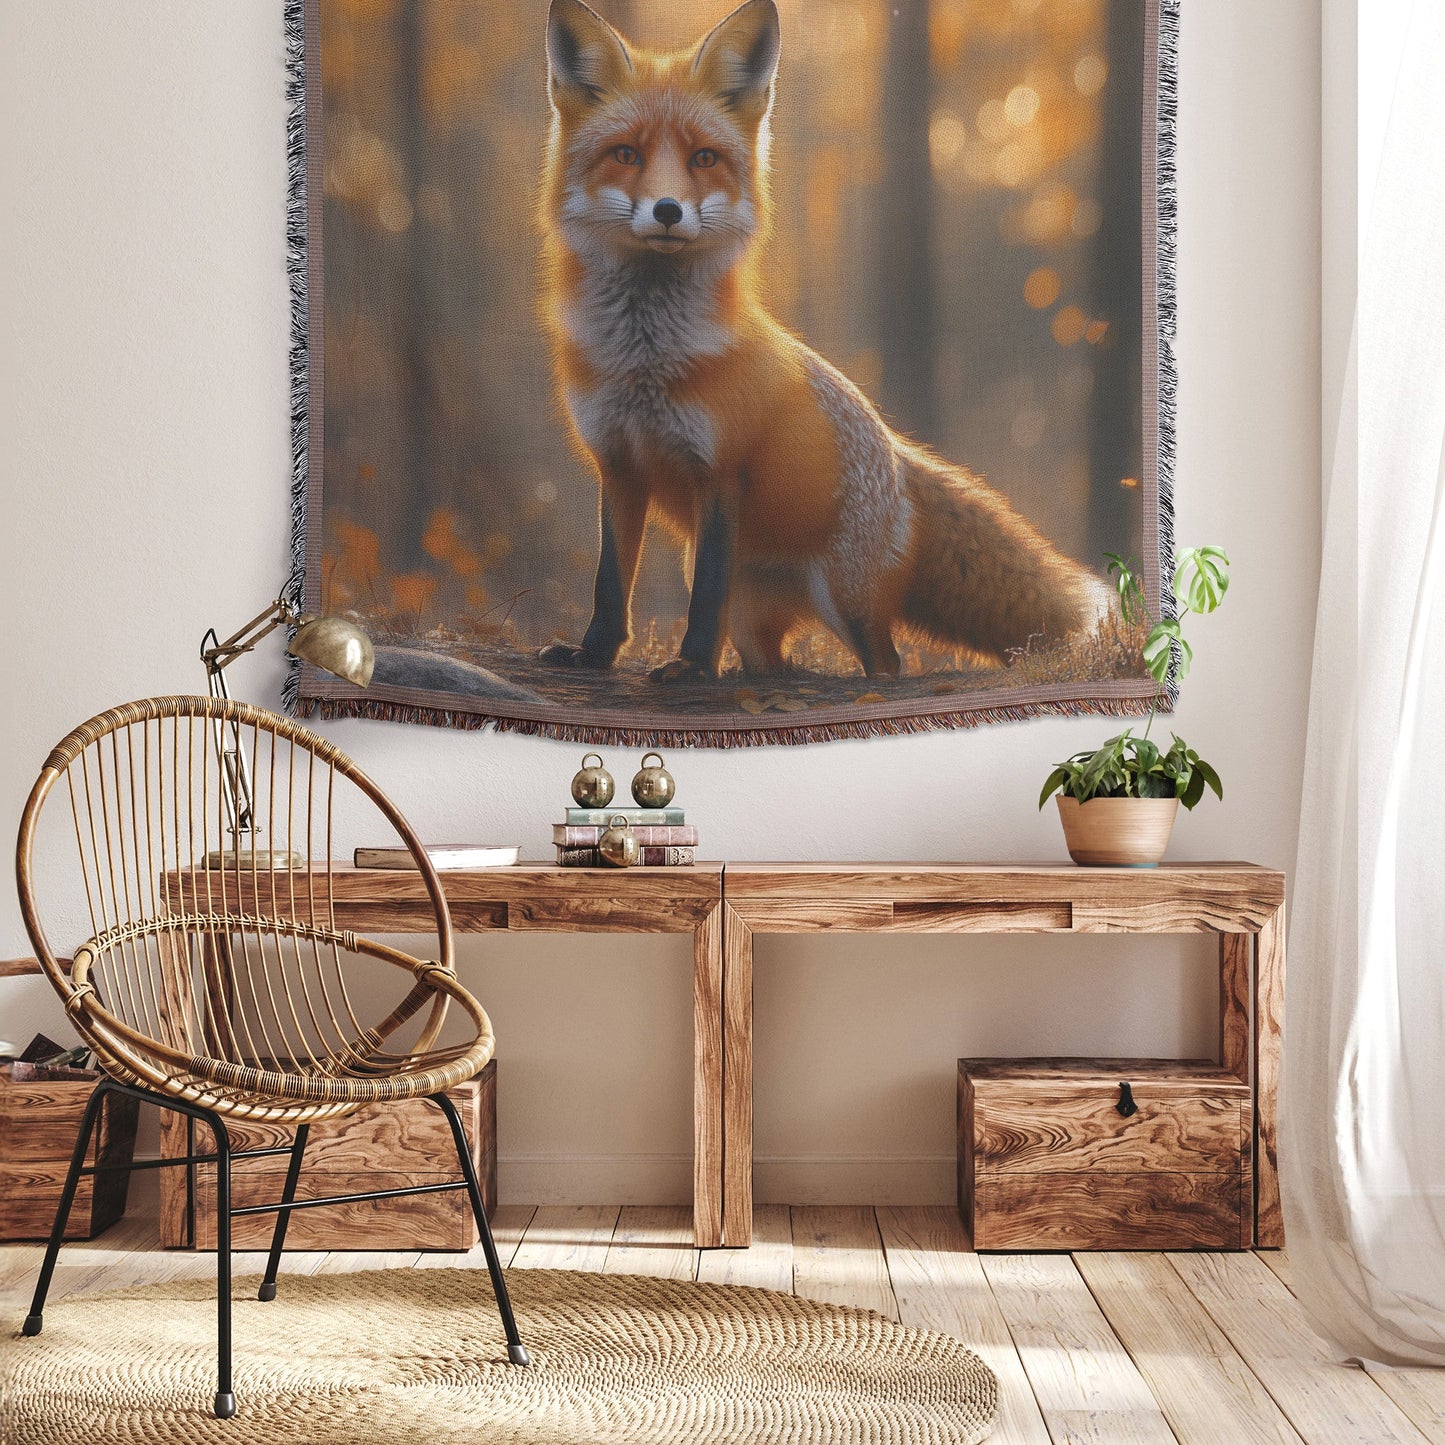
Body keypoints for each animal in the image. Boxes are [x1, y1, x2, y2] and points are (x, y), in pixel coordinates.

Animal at [537, 0, 1104, 682]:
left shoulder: (720, 472)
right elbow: (610, 582)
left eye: (704, 159)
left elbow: (704, 598)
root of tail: (896, 456)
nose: (668, 210)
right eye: (625, 153)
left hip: (847, 602)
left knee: (886, 666)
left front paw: (693, 670)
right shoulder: (619, 465)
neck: (644, 359)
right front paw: (594, 655)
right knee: (770, 661)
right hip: (755, 614)